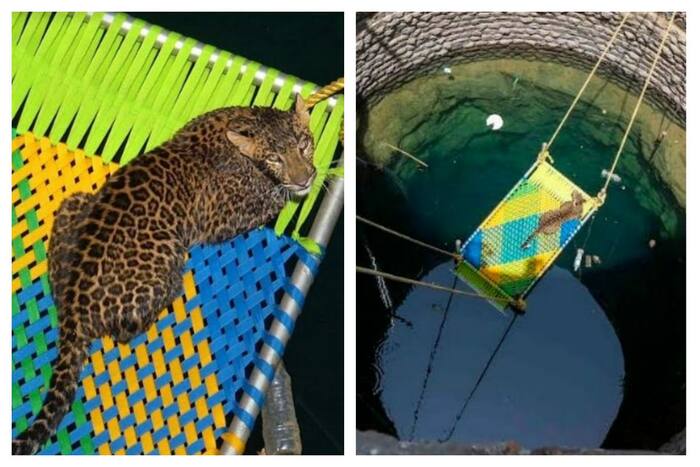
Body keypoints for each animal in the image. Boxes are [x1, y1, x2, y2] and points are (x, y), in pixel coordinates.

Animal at [12, 95, 316, 455]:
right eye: (274, 158)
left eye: (304, 144)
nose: (305, 179)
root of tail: (75, 306)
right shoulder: (221, 219)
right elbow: (270, 201)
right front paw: (283, 192)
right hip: (169, 259)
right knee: (125, 330)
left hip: (76, 206)